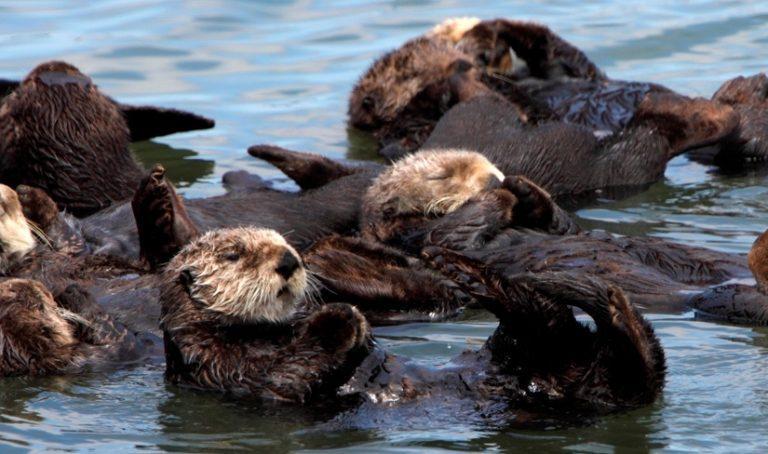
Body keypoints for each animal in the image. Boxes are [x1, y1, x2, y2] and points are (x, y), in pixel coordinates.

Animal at [160, 226, 665, 421]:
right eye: (234, 254)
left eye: (283, 242)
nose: (289, 260)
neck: (265, 331)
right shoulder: (218, 366)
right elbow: (285, 380)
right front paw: (343, 318)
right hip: (554, 361)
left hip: (520, 349)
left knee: (544, 318)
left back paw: (462, 267)